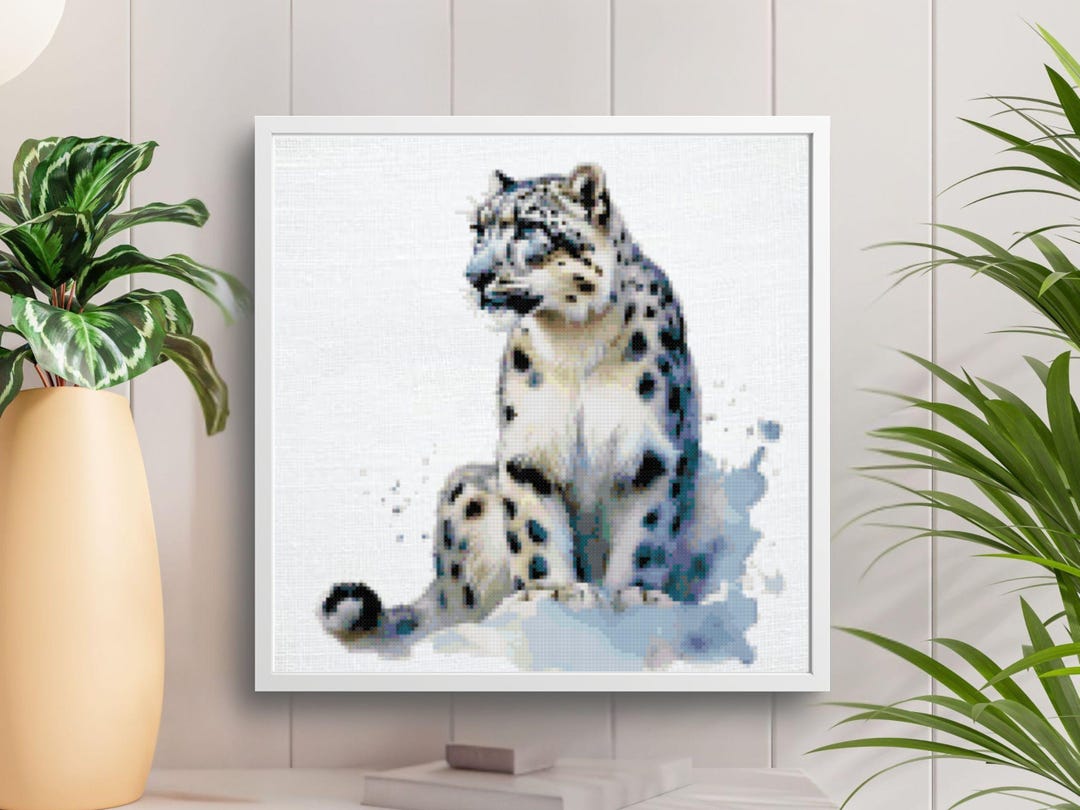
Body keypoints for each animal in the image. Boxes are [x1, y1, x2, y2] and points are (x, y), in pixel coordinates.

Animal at [320, 163, 715, 646]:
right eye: (478, 230)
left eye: (528, 227)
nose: (474, 276)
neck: (576, 340)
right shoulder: (528, 447)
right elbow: (533, 529)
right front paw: (554, 592)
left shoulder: (653, 451)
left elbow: (647, 531)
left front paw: (634, 595)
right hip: (467, 492)